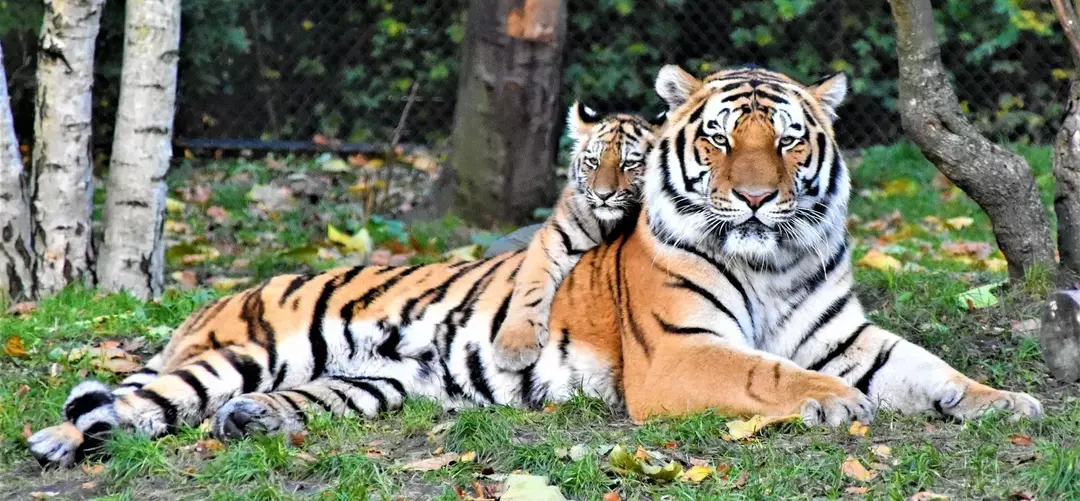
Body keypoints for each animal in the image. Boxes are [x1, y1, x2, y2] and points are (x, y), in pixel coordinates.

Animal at [27, 64, 1036, 468]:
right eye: (719, 140)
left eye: (787, 141)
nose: (754, 198)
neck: (774, 260)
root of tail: (220, 300)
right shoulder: (681, 353)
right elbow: (768, 372)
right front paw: (832, 402)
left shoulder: (847, 334)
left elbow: (930, 367)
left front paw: (1008, 401)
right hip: (237, 352)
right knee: (133, 401)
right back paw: (55, 442)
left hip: (370, 384)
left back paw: (248, 421)